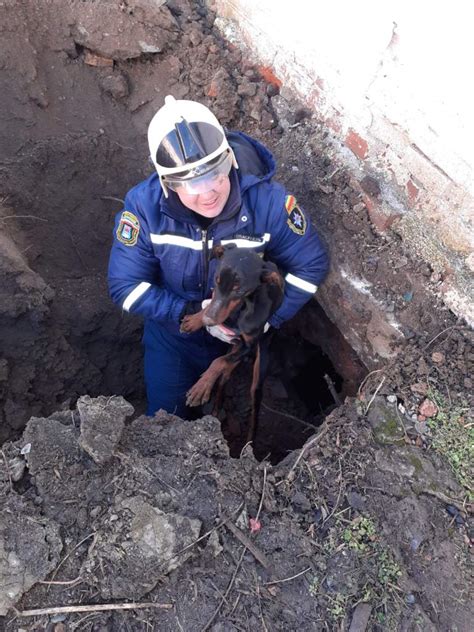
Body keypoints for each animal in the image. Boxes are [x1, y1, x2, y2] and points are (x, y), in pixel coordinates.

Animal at [180, 244, 284, 442]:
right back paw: (215, 410)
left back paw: (249, 443)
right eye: (217, 279)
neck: (244, 306)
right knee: (224, 376)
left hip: (259, 369)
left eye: (239, 290)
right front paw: (196, 320)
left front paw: (201, 387)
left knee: (254, 405)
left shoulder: (248, 345)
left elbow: (217, 361)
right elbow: (211, 305)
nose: (208, 320)